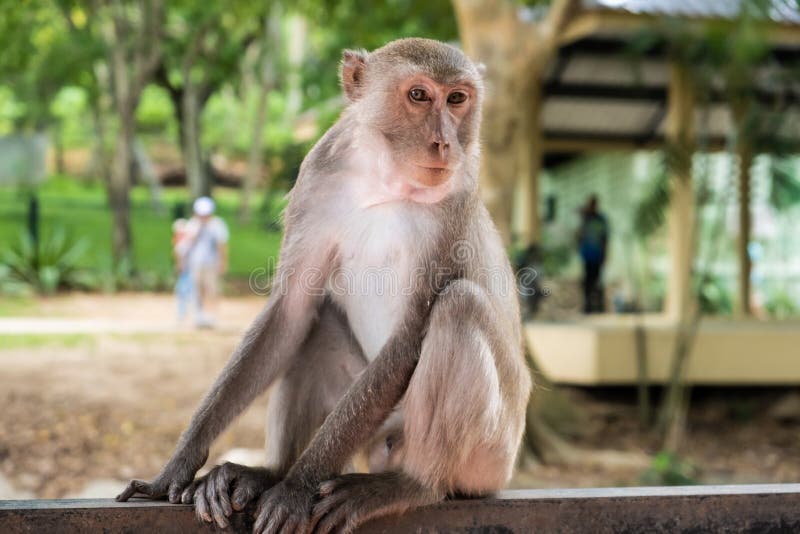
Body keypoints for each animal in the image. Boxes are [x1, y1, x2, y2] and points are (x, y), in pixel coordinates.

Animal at [117, 38, 532, 534]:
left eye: (456, 99)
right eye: (419, 95)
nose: (445, 142)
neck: (385, 181)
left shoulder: (457, 199)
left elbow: (410, 336)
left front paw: (297, 488)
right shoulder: (318, 174)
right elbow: (292, 310)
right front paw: (176, 468)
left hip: (489, 454)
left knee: (460, 304)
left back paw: (411, 484)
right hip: (376, 427)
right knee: (316, 325)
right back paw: (267, 472)